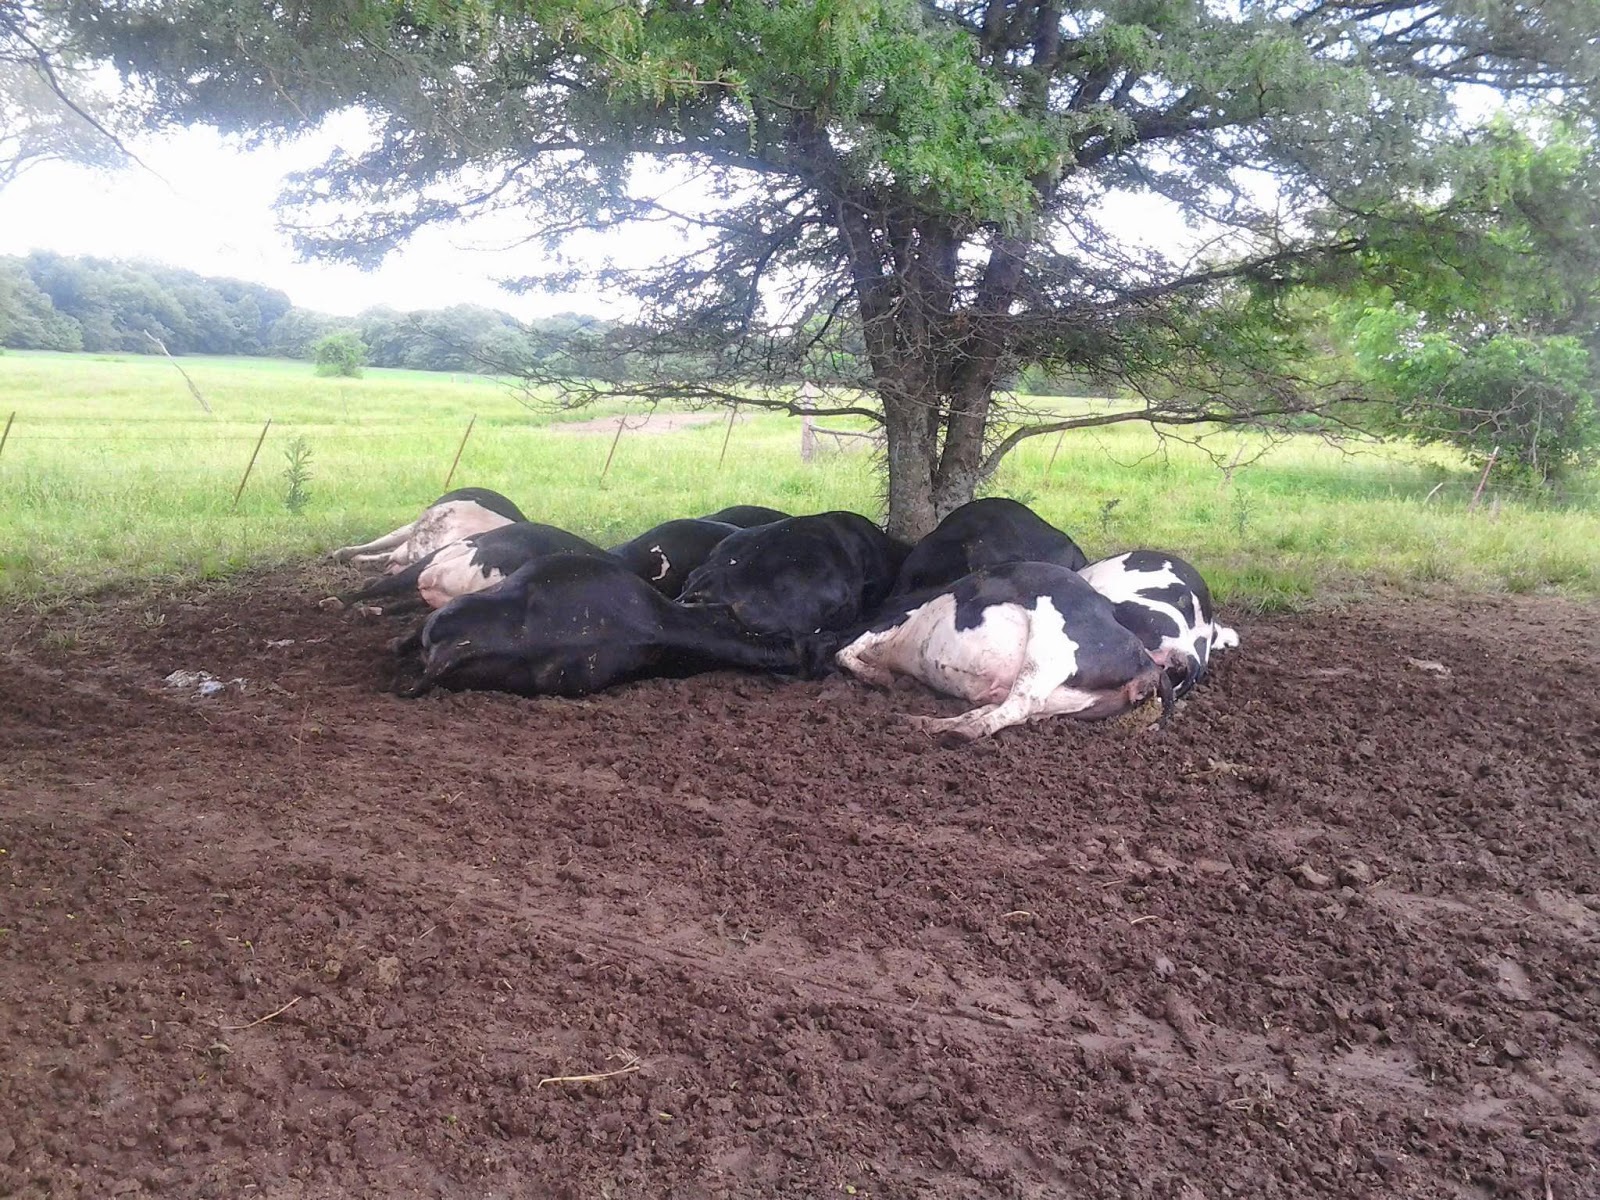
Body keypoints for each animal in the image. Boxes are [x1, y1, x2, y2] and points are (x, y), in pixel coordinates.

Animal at [819, 561, 1174, 742]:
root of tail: (1146, 661)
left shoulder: (893, 620)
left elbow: (845, 651)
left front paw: (879, 679)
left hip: (1049, 651)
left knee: (1019, 704)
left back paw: (962, 733)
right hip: (1073, 703)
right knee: (1010, 709)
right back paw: (922, 722)